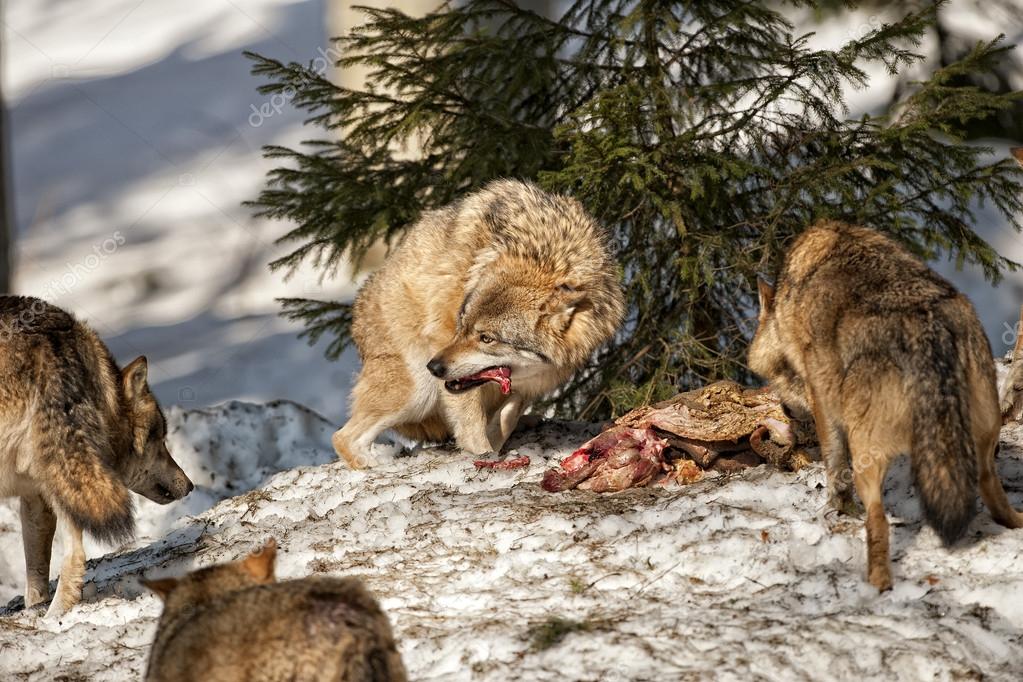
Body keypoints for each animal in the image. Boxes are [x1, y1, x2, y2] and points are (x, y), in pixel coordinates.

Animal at [0, 296, 192, 617]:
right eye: (160, 437)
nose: (190, 485)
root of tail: (48, 338)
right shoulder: (35, 496)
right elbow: (36, 574)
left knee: (76, 554)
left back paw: (55, 620)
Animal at [332, 180, 625, 468]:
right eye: (462, 326)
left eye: (486, 338)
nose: (434, 367)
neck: (547, 254)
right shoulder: (443, 337)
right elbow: (471, 422)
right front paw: (482, 453)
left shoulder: (539, 377)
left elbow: (510, 410)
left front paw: (498, 437)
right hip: (417, 391)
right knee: (342, 438)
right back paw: (371, 465)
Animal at [748, 221, 1023, 591]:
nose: (787, 412)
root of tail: (928, 333)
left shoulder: (823, 403)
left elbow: (835, 467)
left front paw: (835, 509)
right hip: (982, 440)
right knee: (992, 491)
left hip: (868, 456)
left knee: (876, 518)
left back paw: (876, 584)